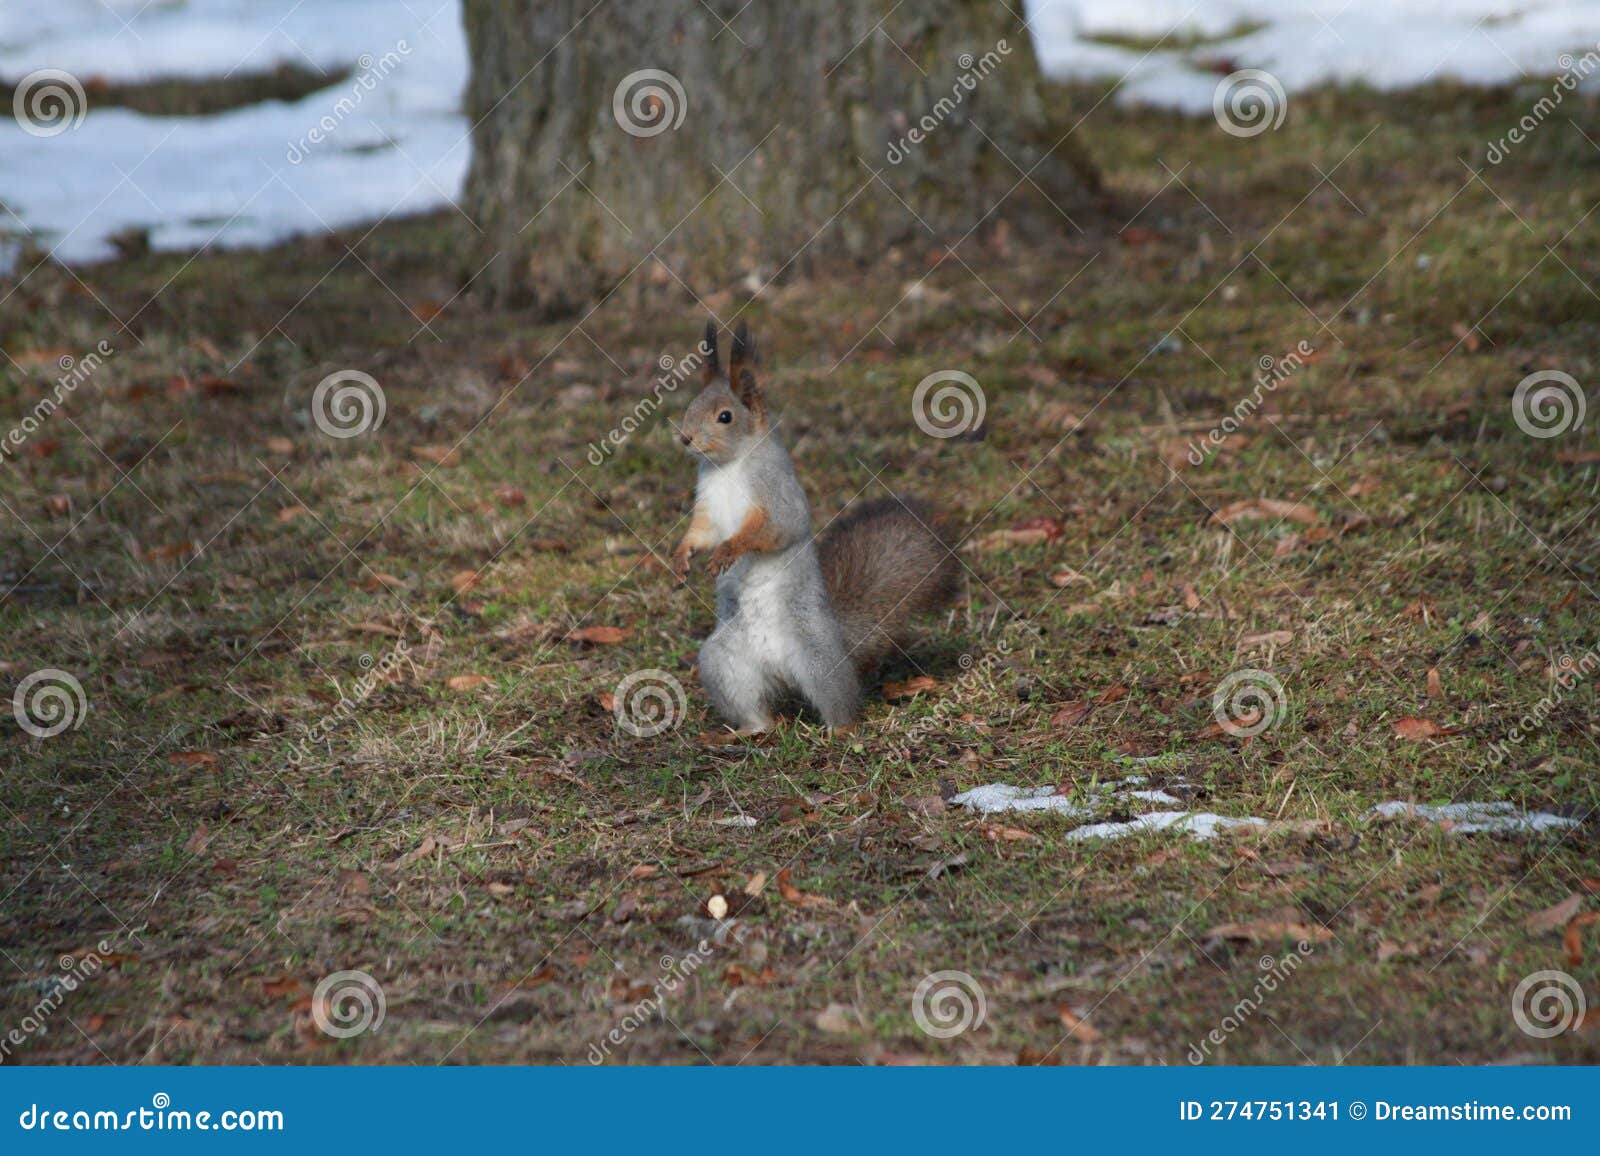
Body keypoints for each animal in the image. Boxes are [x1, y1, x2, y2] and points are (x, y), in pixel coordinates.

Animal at [671, 319, 959, 733]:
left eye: (725, 416)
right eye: (690, 407)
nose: (685, 438)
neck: (728, 466)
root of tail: (781, 672)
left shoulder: (777, 495)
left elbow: (774, 530)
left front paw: (730, 550)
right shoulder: (707, 507)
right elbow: (700, 534)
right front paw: (681, 557)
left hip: (818, 658)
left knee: (839, 700)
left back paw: (841, 730)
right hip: (723, 663)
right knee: (757, 714)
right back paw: (742, 732)